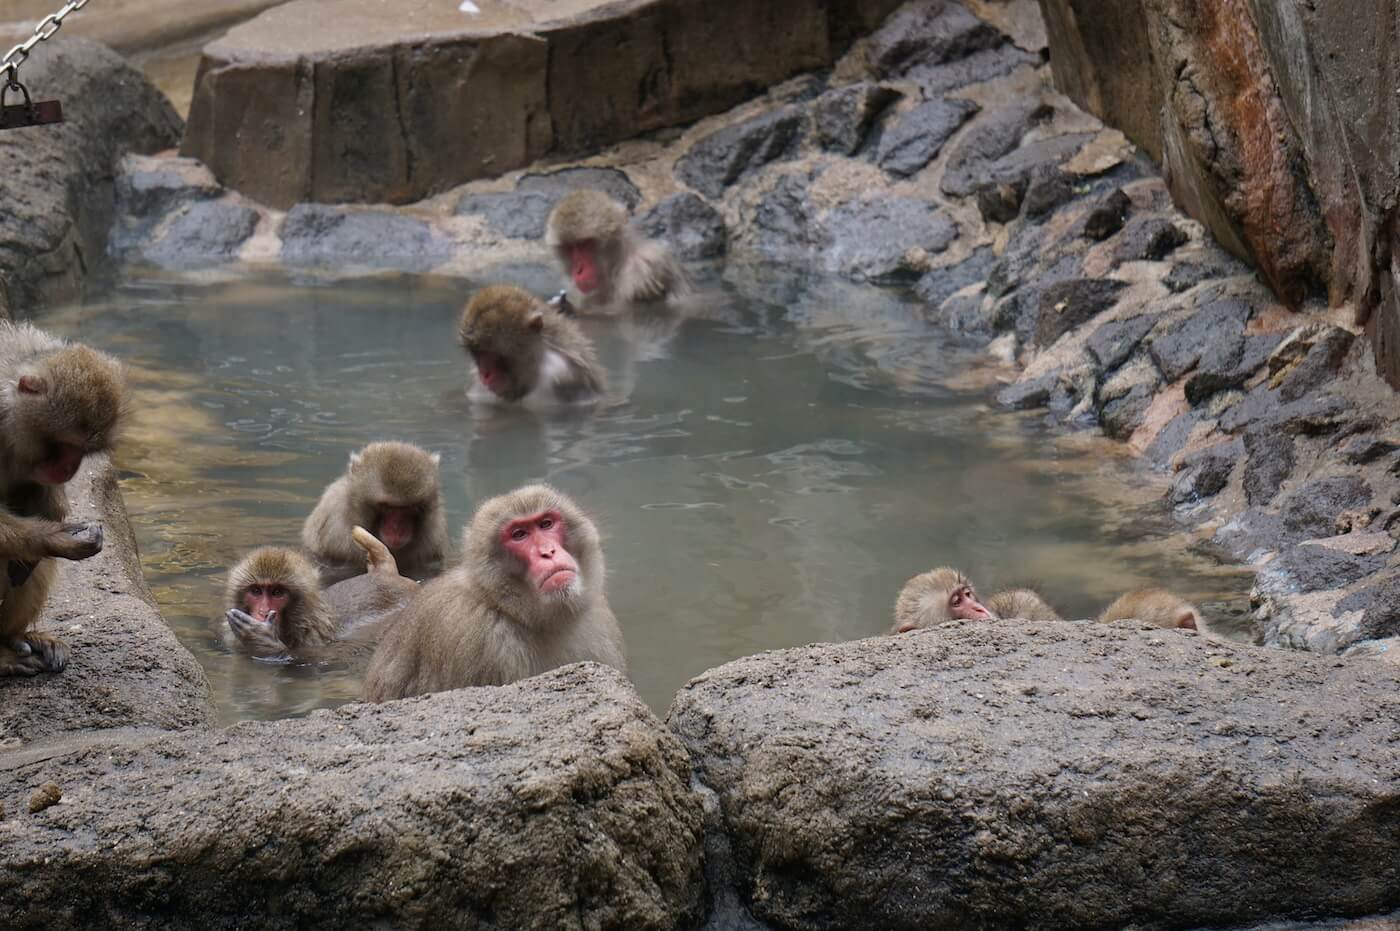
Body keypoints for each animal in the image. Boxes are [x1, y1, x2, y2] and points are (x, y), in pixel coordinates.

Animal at [226, 527, 419, 660]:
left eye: (277, 592)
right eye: (256, 591)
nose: (262, 612)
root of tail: (386, 573)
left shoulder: (314, 639)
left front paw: (261, 641)